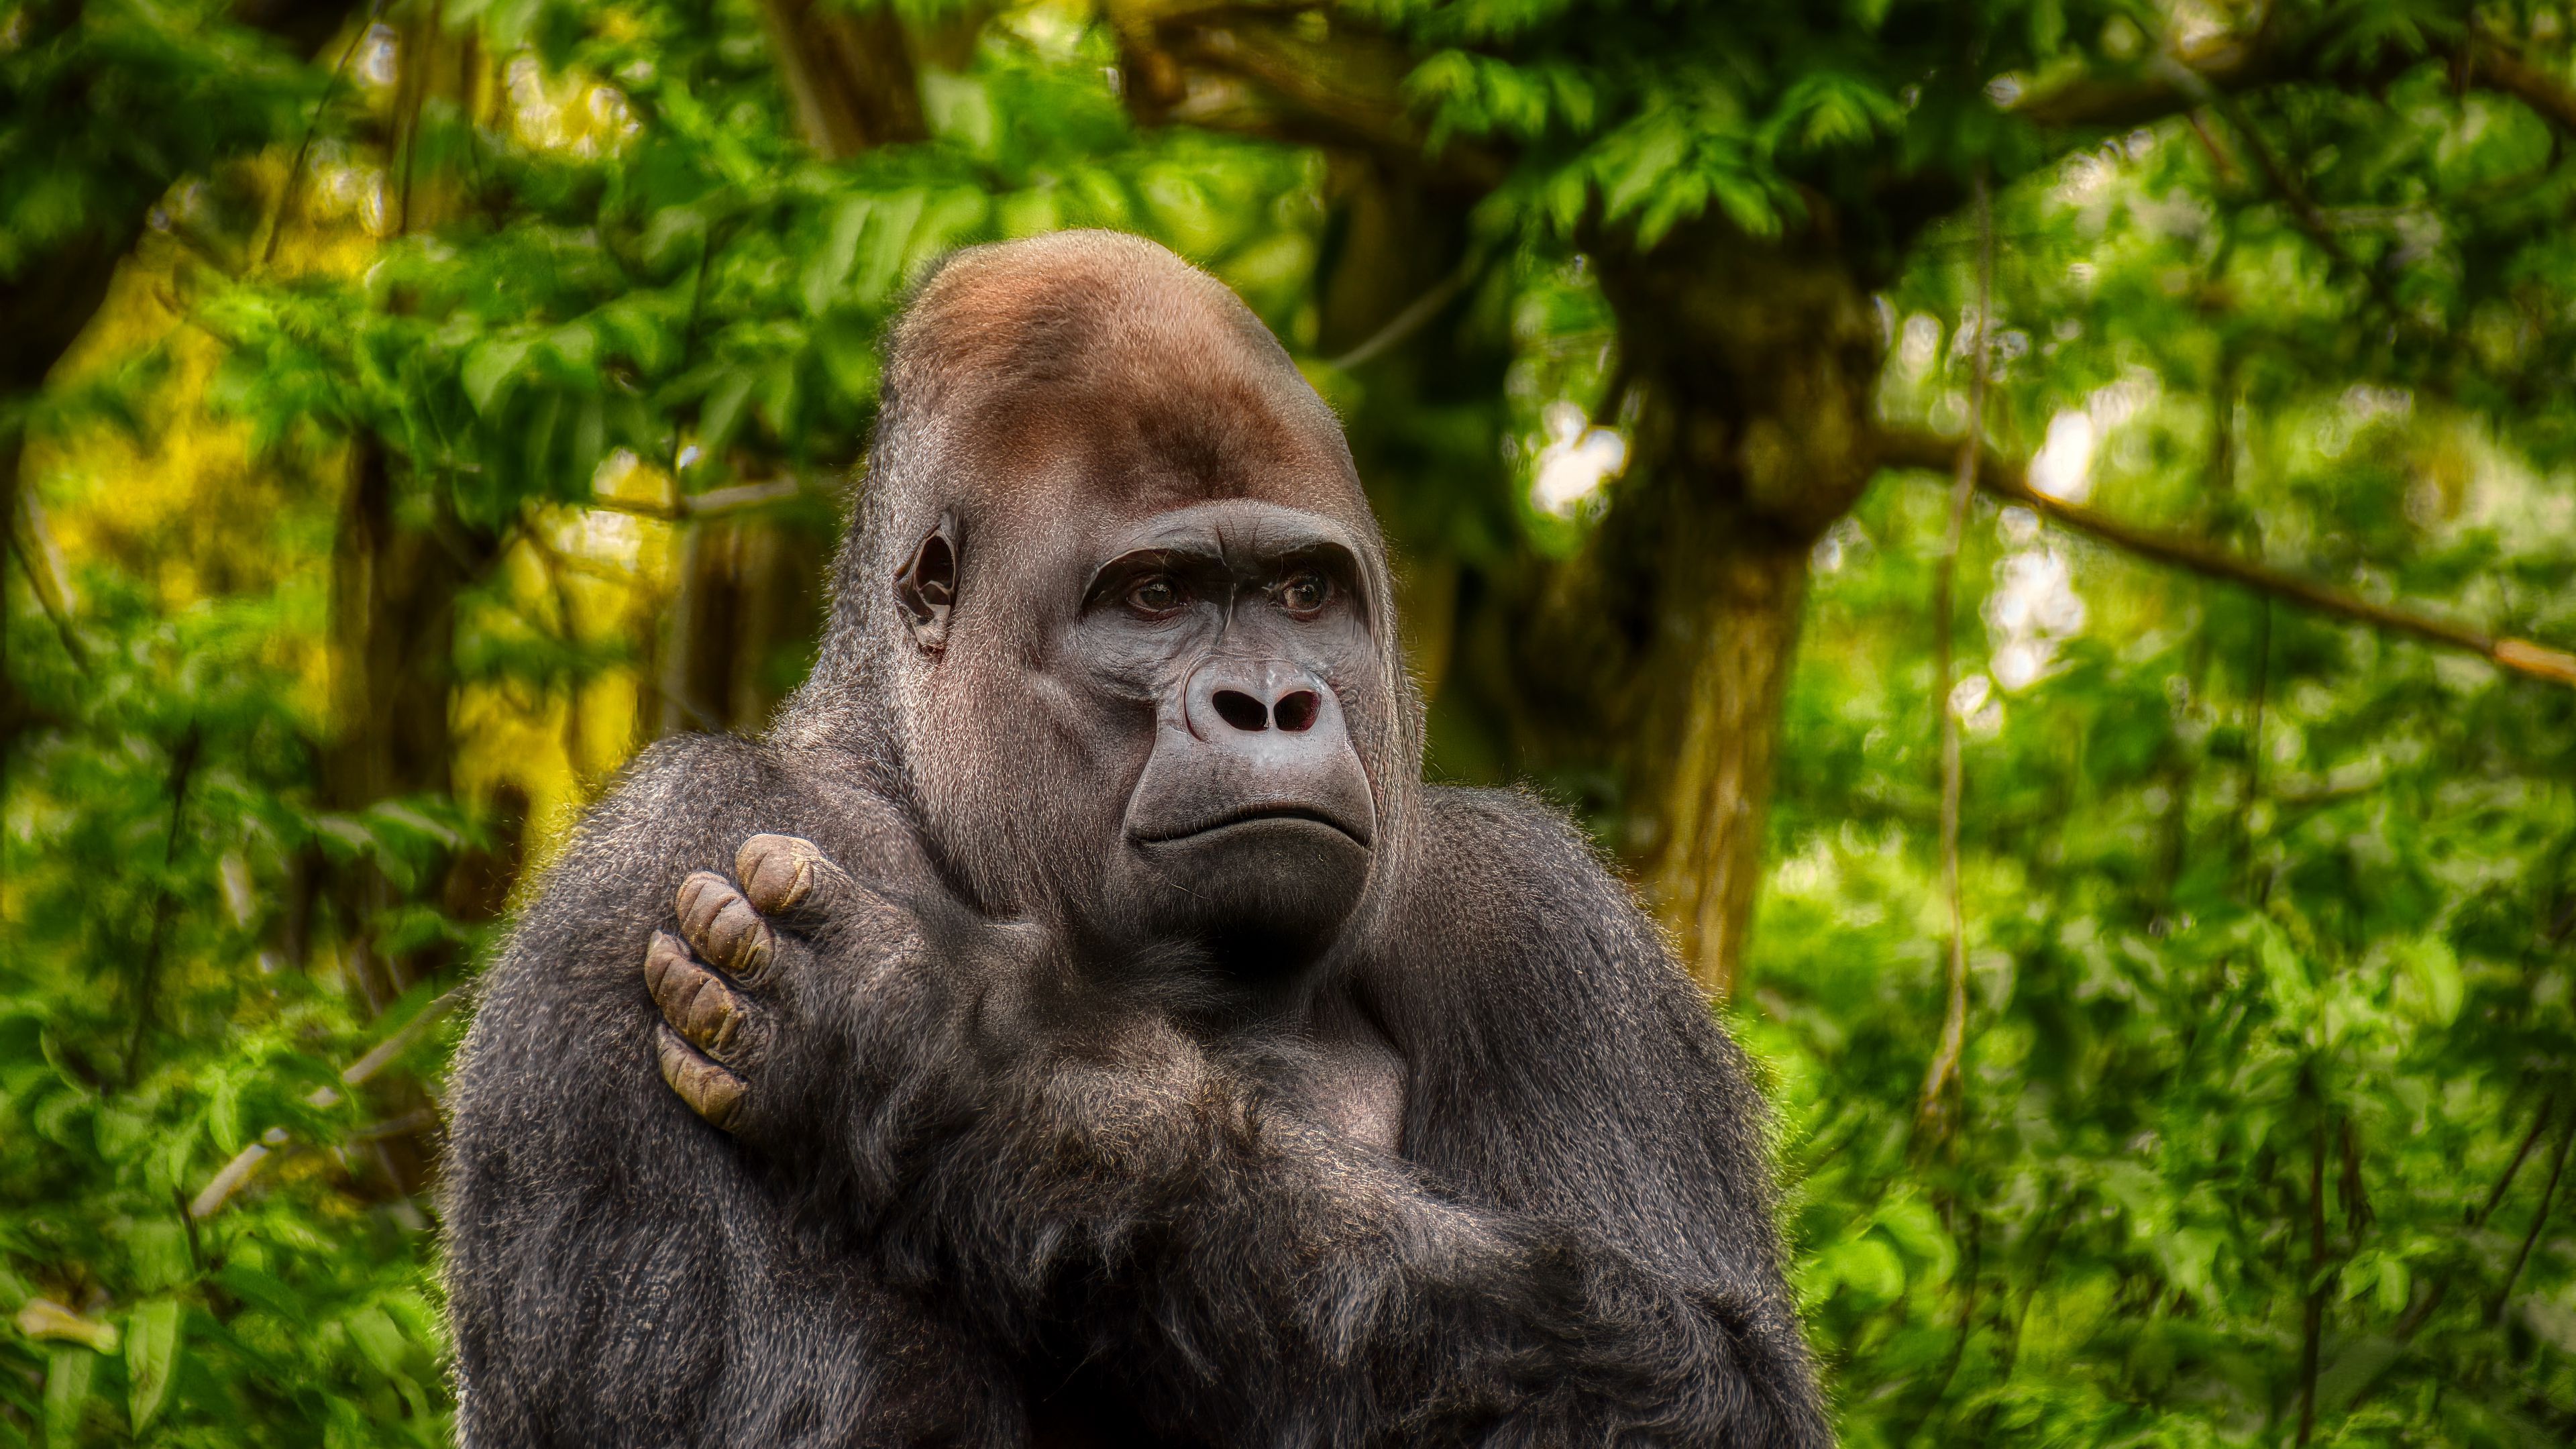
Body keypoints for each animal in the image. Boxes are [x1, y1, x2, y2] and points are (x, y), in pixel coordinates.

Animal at [441, 230, 1826, 1447]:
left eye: (1304, 594)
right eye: (1157, 598)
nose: (1269, 704)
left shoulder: (1541, 920)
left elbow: (1722, 1389)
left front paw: (988, 1068)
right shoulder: (682, 843)